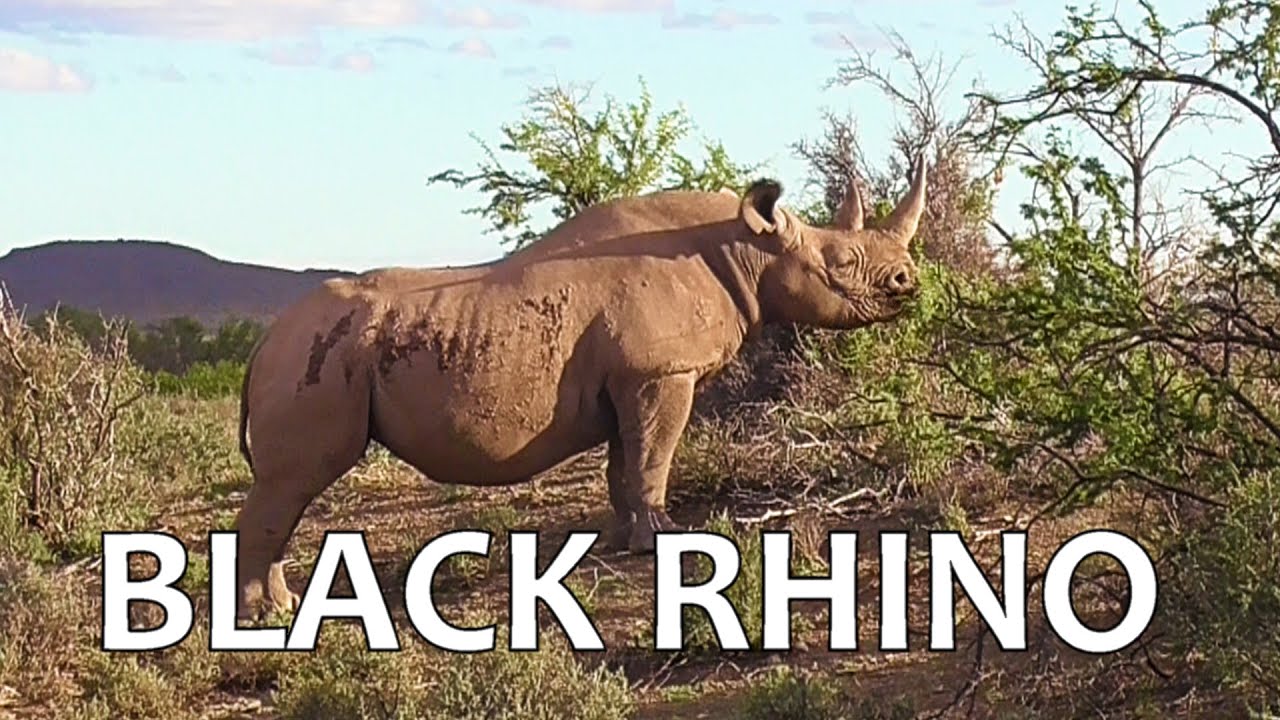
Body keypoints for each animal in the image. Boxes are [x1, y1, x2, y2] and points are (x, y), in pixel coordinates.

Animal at [233, 159, 927, 617]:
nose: (907, 282)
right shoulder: (661, 372)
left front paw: (624, 540)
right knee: (295, 481)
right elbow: (655, 457)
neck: (746, 248)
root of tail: (262, 346)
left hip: (318, 353)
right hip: (314, 359)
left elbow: (628, 463)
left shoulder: (632, 378)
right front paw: (665, 544)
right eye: (841, 264)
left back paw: (282, 605)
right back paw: (266, 617)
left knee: (289, 488)